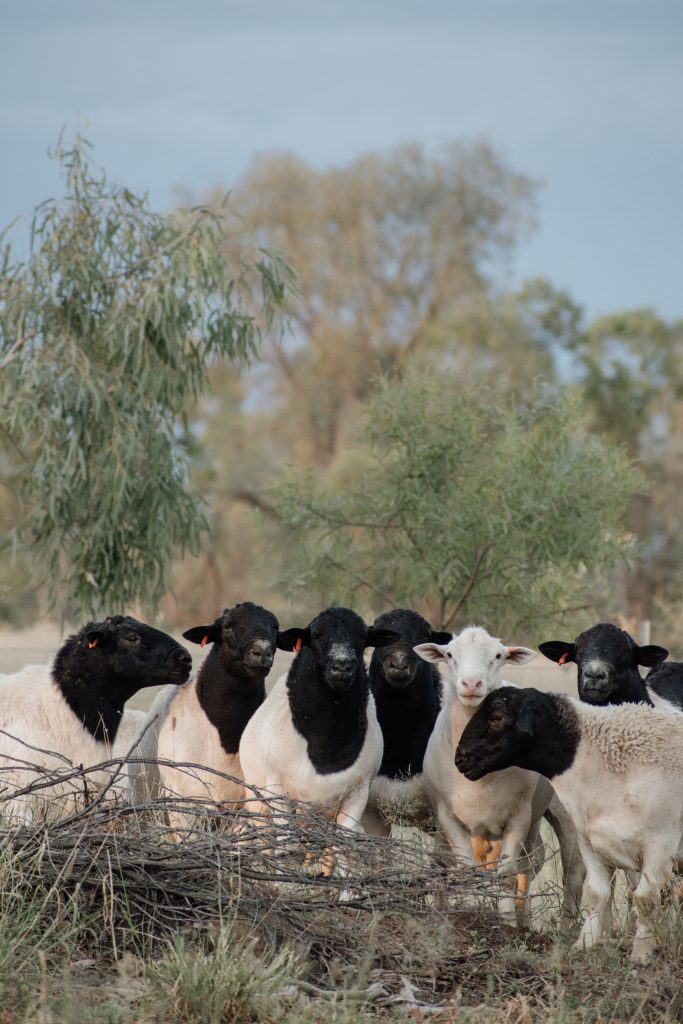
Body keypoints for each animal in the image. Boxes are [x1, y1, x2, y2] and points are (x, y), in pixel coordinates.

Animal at [238, 607, 400, 855]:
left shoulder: (357, 796)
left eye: (363, 636)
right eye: (315, 635)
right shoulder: (278, 794)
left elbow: (343, 847)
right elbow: (285, 848)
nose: (342, 667)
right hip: (259, 803)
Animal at [415, 626, 584, 928]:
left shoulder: (518, 817)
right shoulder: (448, 816)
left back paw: (560, 928)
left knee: (567, 869)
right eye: (450, 655)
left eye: (497, 655)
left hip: (559, 813)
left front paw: (506, 923)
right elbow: (466, 868)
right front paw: (469, 911)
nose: (471, 684)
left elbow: (506, 873)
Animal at [454, 685, 683, 961]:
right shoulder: (591, 842)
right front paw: (583, 945)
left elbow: (645, 899)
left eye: (496, 717)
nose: (460, 758)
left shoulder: (660, 847)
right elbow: (597, 894)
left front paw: (641, 954)